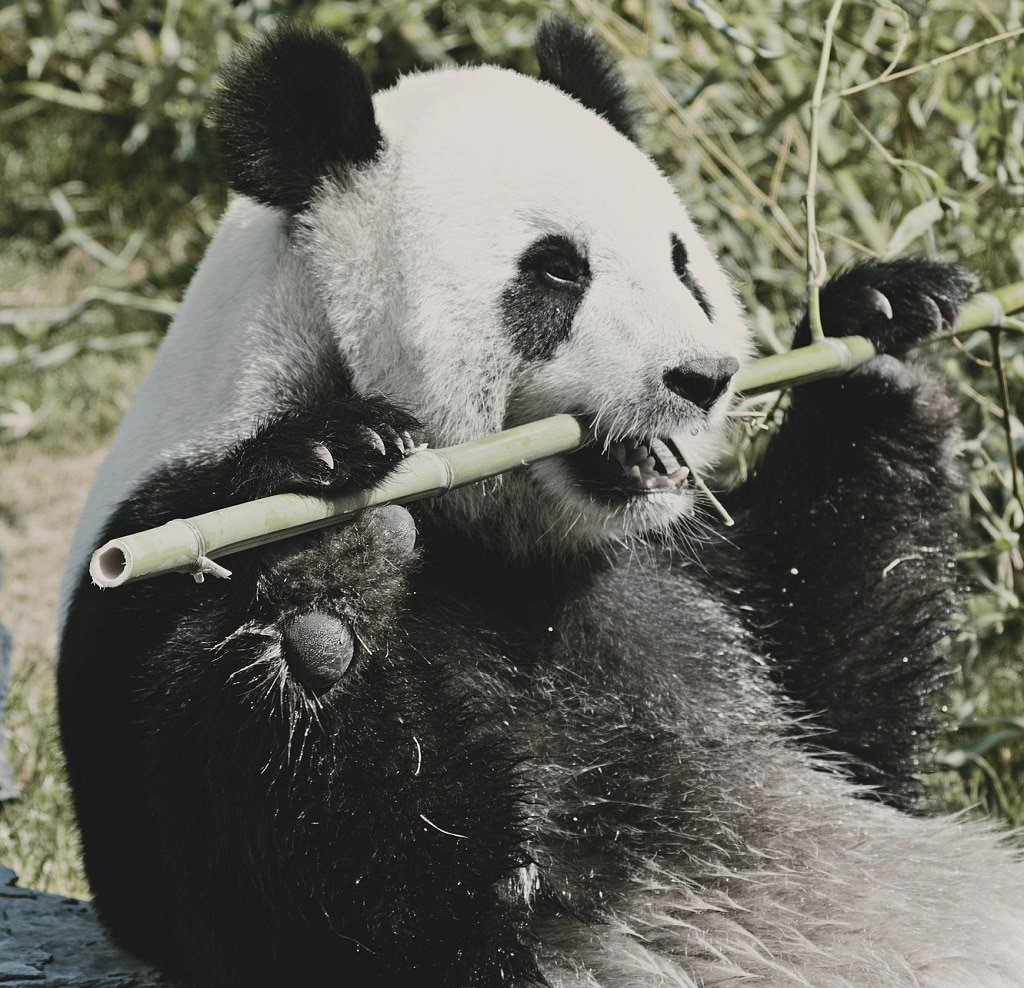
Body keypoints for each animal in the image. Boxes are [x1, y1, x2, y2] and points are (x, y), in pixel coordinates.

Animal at [57, 17, 1024, 987]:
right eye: (558, 271)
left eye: (680, 262)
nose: (702, 378)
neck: (511, 542)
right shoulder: (139, 581)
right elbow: (292, 898)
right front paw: (326, 569)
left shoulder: (692, 577)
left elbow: (846, 708)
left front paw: (880, 325)